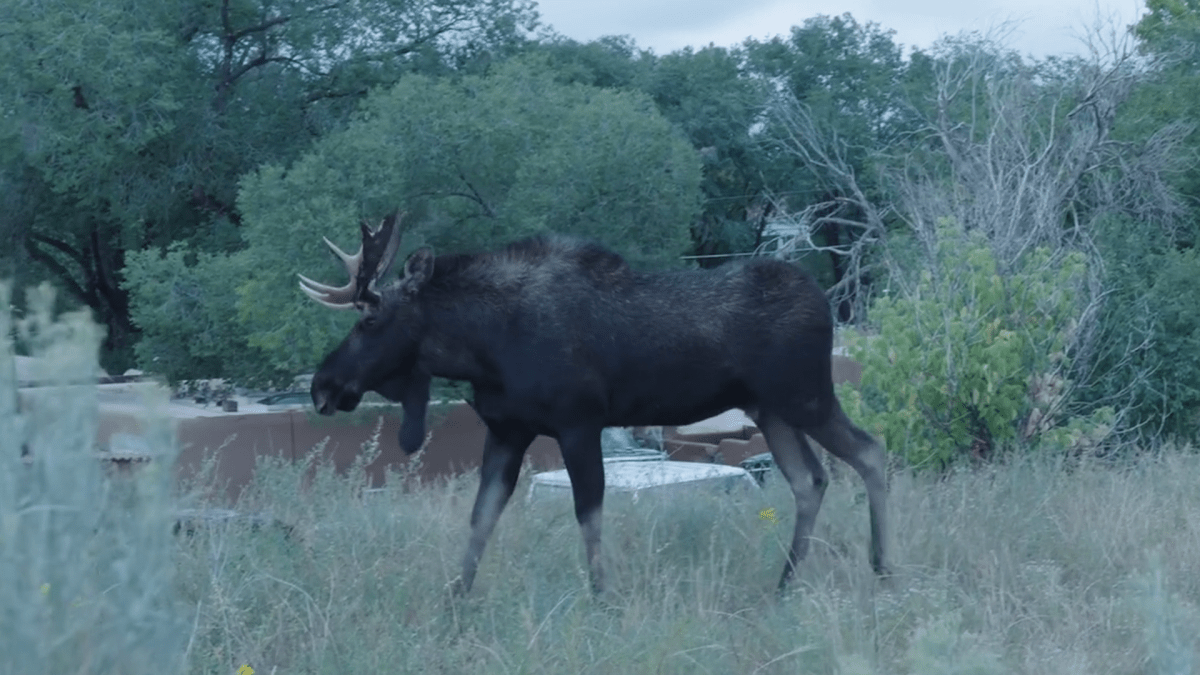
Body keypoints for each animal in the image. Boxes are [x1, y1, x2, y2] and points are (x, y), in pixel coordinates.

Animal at [299, 211, 890, 595]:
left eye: (368, 319)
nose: (322, 386)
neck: (482, 350)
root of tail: (825, 301)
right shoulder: (507, 430)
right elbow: (481, 518)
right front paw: (456, 599)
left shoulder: (579, 422)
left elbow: (589, 514)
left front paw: (603, 597)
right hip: (769, 410)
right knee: (810, 480)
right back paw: (784, 583)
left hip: (806, 395)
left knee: (869, 452)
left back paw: (882, 570)